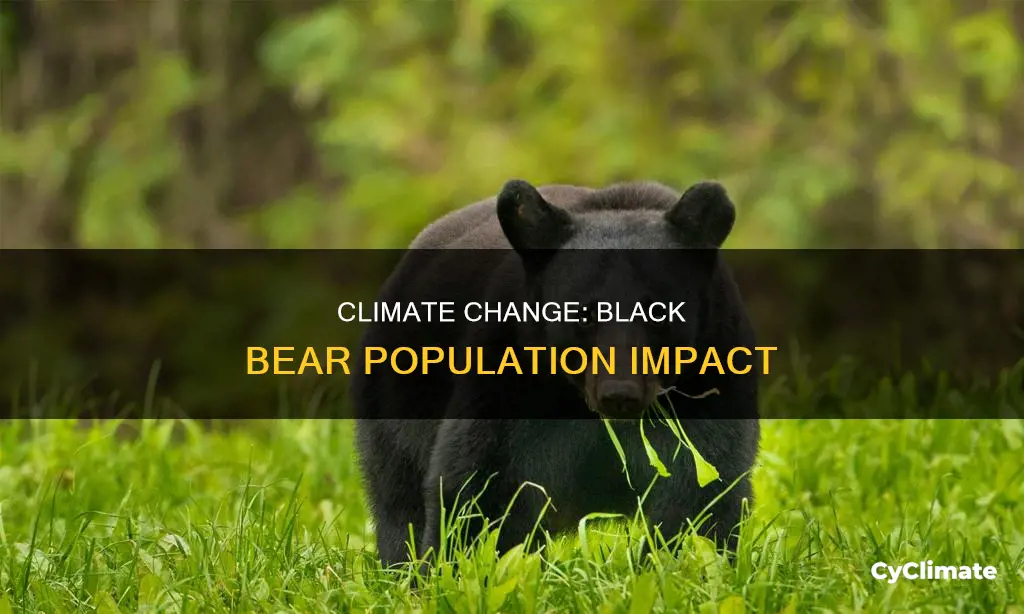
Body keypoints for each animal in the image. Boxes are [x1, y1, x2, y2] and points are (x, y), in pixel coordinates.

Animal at [351, 179, 760, 569]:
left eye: (659, 311)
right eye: (584, 313)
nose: (620, 394)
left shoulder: (711, 375)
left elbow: (701, 486)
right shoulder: (508, 380)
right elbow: (483, 488)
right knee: (397, 500)